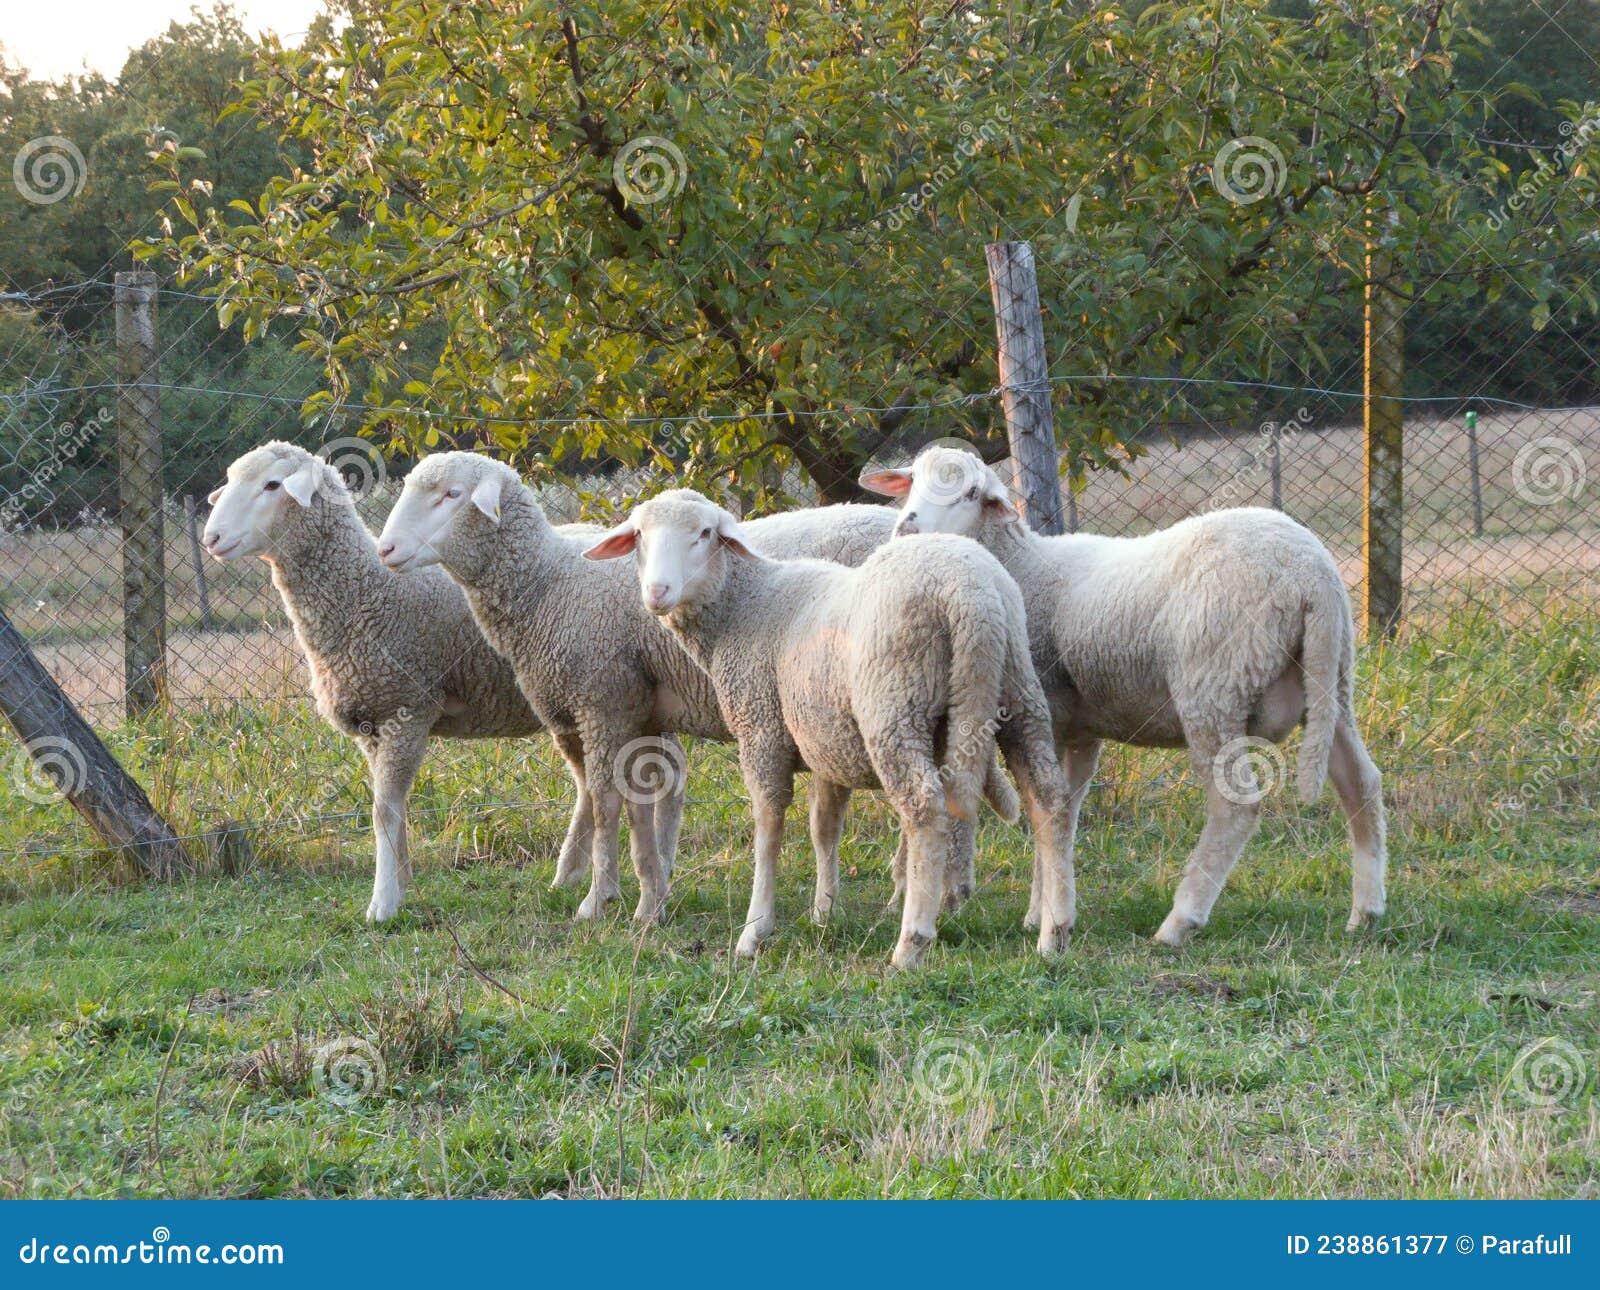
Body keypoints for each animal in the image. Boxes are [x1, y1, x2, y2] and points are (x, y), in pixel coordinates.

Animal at [202, 440, 621, 923]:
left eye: (272, 485)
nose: (210, 539)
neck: (363, 594)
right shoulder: (371, 725)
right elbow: (392, 811)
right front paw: (401, 882)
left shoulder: (405, 712)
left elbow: (382, 811)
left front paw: (382, 903)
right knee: (586, 785)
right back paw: (568, 874)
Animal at [584, 488, 1079, 969]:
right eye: (640, 535)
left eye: (704, 534)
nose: (657, 592)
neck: (746, 608)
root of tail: (971, 591)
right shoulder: (826, 742)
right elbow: (824, 827)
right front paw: (824, 911)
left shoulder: (760, 727)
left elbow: (769, 827)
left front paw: (755, 928)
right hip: (1019, 692)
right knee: (1050, 800)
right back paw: (1053, 932)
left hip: (894, 707)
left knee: (924, 809)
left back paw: (911, 944)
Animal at [860, 445, 1387, 945]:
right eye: (912, 481)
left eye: (971, 494)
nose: (908, 529)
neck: (1021, 567)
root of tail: (1311, 574)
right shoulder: (1078, 729)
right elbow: (1065, 809)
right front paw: (1044, 910)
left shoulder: (1043, 714)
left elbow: (1044, 808)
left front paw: (1041, 914)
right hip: (1331, 684)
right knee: (1360, 782)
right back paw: (1366, 911)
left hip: (1214, 688)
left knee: (1235, 807)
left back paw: (1180, 921)